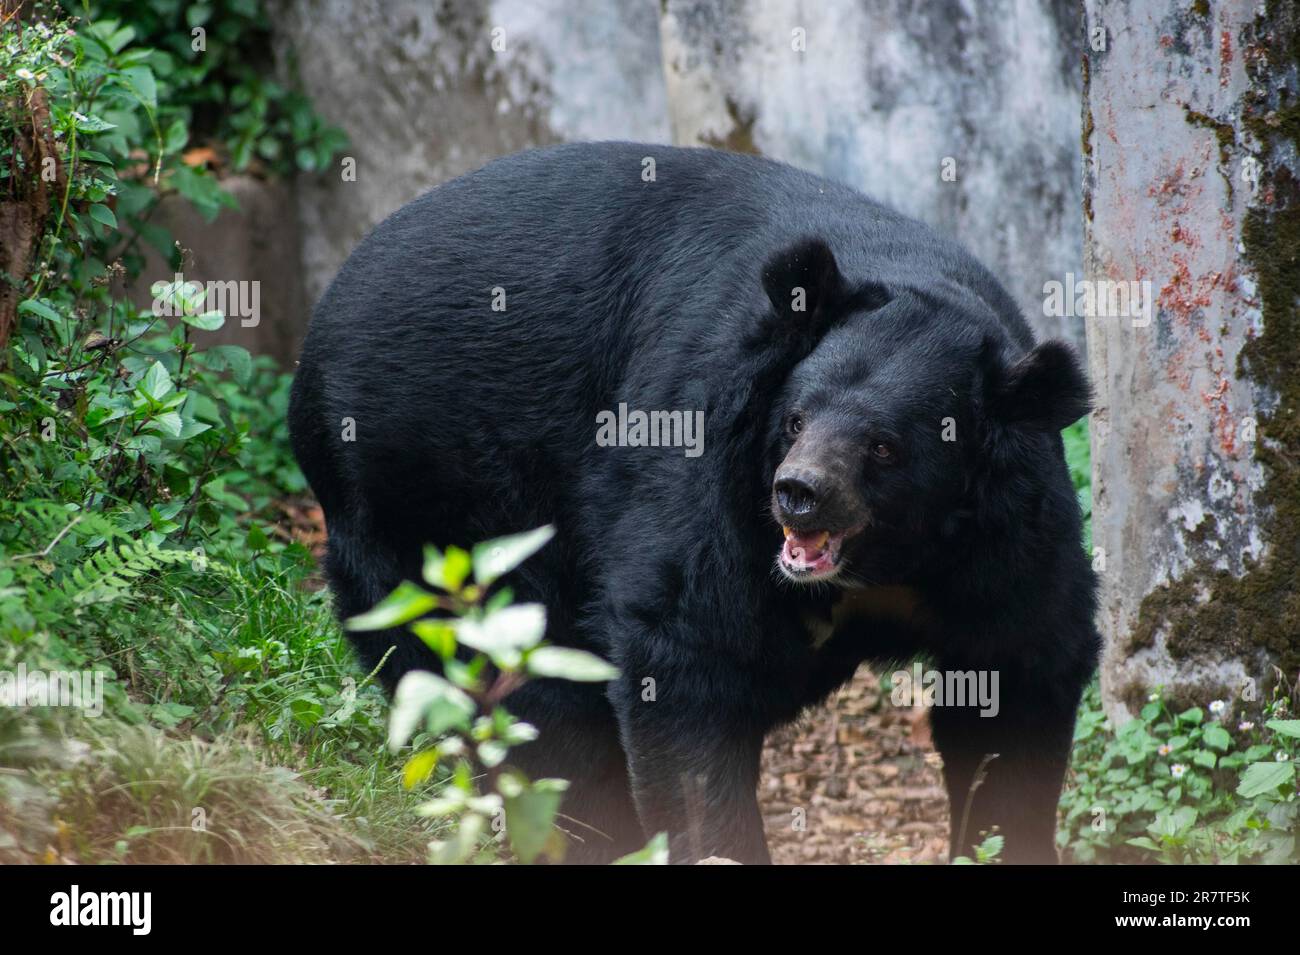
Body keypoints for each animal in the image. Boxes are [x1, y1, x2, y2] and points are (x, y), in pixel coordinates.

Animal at [288, 141, 1100, 865]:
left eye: (885, 448)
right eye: (795, 419)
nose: (799, 495)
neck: (888, 559)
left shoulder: (1010, 534)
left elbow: (1017, 674)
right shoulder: (711, 465)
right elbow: (688, 654)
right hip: (435, 505)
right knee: (527, 700)